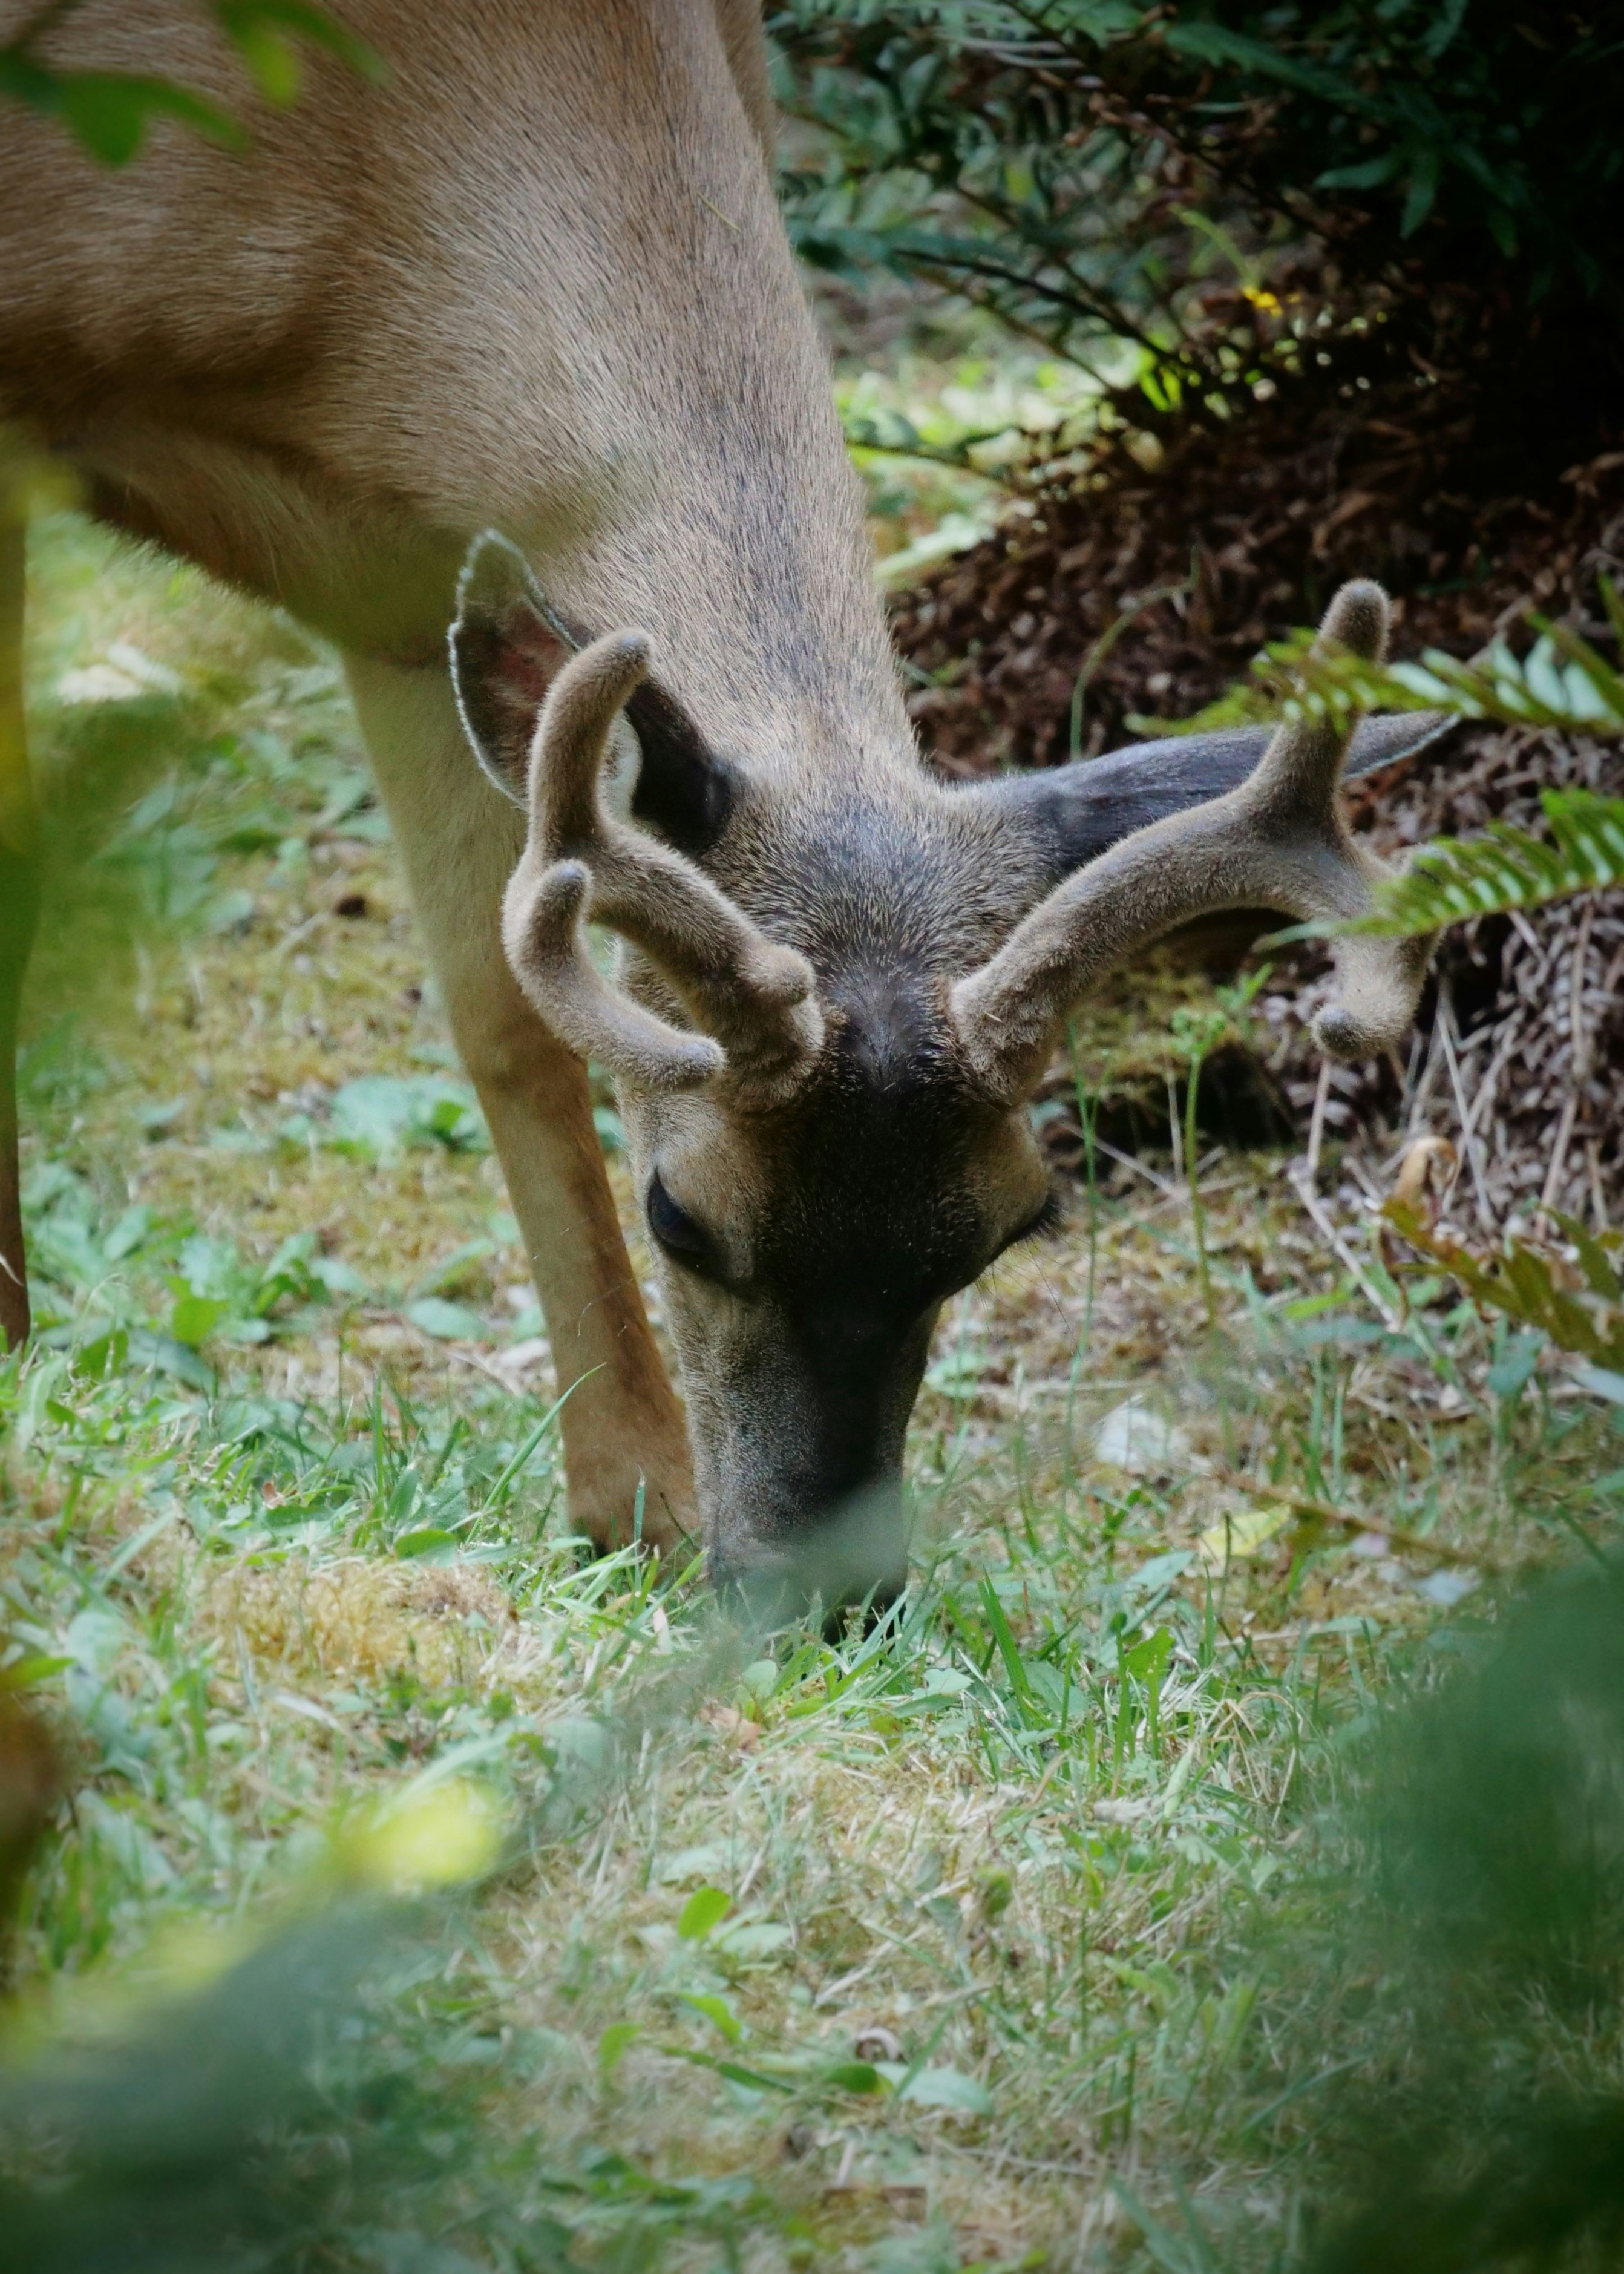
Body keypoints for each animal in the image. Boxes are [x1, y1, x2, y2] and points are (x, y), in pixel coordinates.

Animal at [0, 0, 1442, 1604]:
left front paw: (635, 1502)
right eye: (681, 1215)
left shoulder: (397, 580)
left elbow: (504, 1014)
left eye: (1014, 1223)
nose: (831, 1599)